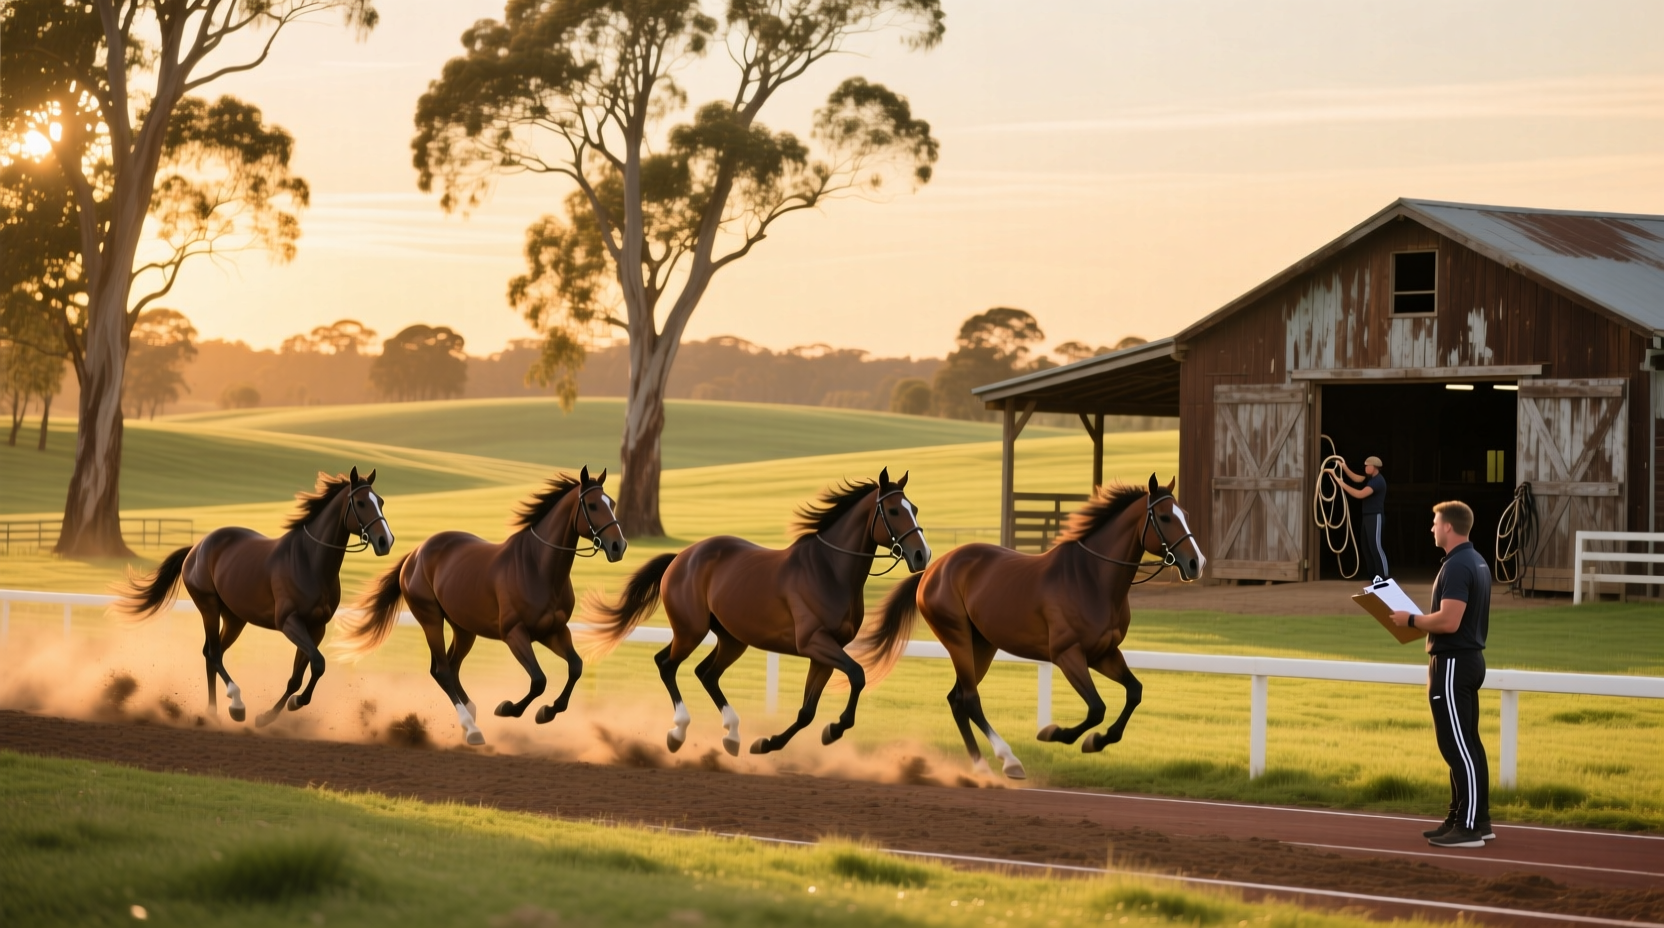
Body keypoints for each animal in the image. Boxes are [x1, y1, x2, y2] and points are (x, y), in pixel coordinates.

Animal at [117, 467, 395, 725]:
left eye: (380, 501)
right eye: (361, 503)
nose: (386, 540)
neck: (309, 562)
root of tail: (197, 547)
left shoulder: (316, 628)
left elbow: (299, 675)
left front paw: (273, 713)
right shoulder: (289, 622)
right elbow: (318, 663)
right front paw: (290, 705)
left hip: (235, 618)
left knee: (211, 653)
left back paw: (212, 711)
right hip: (209, 606)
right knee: (214, 653)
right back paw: (236, 703)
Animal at [341, 467, 625, 746]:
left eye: (611, 503)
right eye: (593, 505)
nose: (618, 546)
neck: (539, 568)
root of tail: (415, 553)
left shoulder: (553, 631)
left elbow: (575, 667)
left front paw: (547, 711)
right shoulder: (514, 634)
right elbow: (538, 680)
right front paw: (509, 708)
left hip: (464, 628)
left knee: (452, 667)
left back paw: (470, 715)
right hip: (431, 618)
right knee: (442, 670)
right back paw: (472, 728)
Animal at [586, 468, 929, 757]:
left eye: (914, 508)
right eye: (895, 510)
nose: (922, 554)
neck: (828, 570)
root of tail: (681, 556)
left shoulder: (825, 651)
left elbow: (807, 711)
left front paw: (767, 743)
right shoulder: (814, 642)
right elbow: (857, 675)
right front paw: (834, 729)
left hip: (732, 639)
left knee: (706, 673)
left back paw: (732, 735)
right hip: (691, 630)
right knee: (667, 664)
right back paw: (678, 732)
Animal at [853, 474, 1204, 779]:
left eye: (1186, 515)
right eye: (1165, 517)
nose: (1196, 563)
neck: (1092, 579)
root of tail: (932, 569)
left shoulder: (1104, 653)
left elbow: (1134, 692)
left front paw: (1098, 741)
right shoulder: (1067, 654)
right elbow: (1096, 707)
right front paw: (1056, 733)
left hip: (983, 644)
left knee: (957, 698)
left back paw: (983, 765)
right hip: (958, 638)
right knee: (969, 698)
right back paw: (1005, 762)